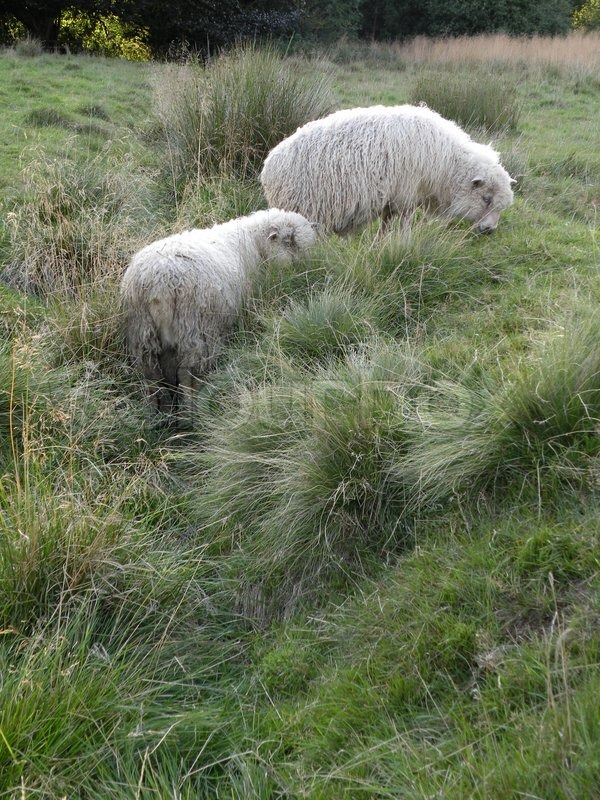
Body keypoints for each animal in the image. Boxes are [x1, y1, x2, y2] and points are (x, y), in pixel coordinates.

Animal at [121, 209, 317, 421]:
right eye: (289, 242)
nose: (305, 273)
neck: (255, 243)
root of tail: (160, 282)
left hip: (143, 331)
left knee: (151, 374)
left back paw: (159, 413)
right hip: (195, 330)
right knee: (188, 374)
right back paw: (190, 413)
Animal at [260, 104, 515, 235]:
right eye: (486, 199)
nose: (489, 230)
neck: (447, 165)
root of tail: (268, 167)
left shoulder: (392, 198)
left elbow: (385, 224)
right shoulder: (406, 195)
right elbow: (403, 224)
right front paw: (403, 242)